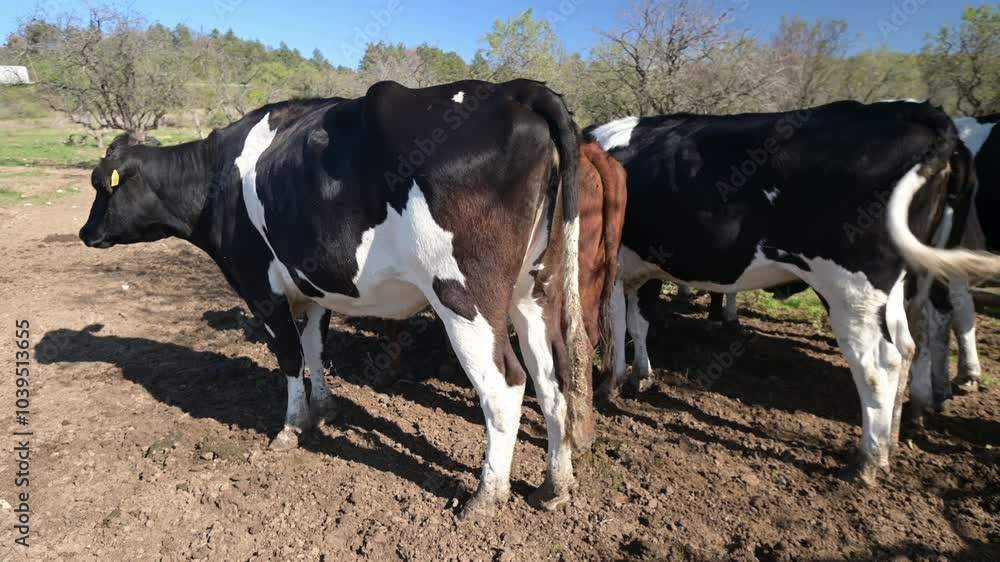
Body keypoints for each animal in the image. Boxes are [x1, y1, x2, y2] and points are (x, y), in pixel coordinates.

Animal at [78, 79, 594, 516]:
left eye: (102, 185)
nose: (85, 233)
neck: (215, 178)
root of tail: (516, 89)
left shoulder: (260, 287)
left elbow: (289, 356)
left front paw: (291, 427)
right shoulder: (312, 287)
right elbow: (314, 346)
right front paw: (323, 409)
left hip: (465, 297)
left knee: (505, 384)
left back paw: (486, 496)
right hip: (534, 289)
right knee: (553, 377)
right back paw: (555, 485)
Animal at [588, 100, 1000, 484]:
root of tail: (916, 111)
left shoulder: (613, 266)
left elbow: (617, 324)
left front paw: (611, 384)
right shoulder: (644, 268)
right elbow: (639, 322)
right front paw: (640, 375)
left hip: (852, 289)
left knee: (880, 363)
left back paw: (868, 462)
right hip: (898, 286)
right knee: (909, 345)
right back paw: (894, 440)